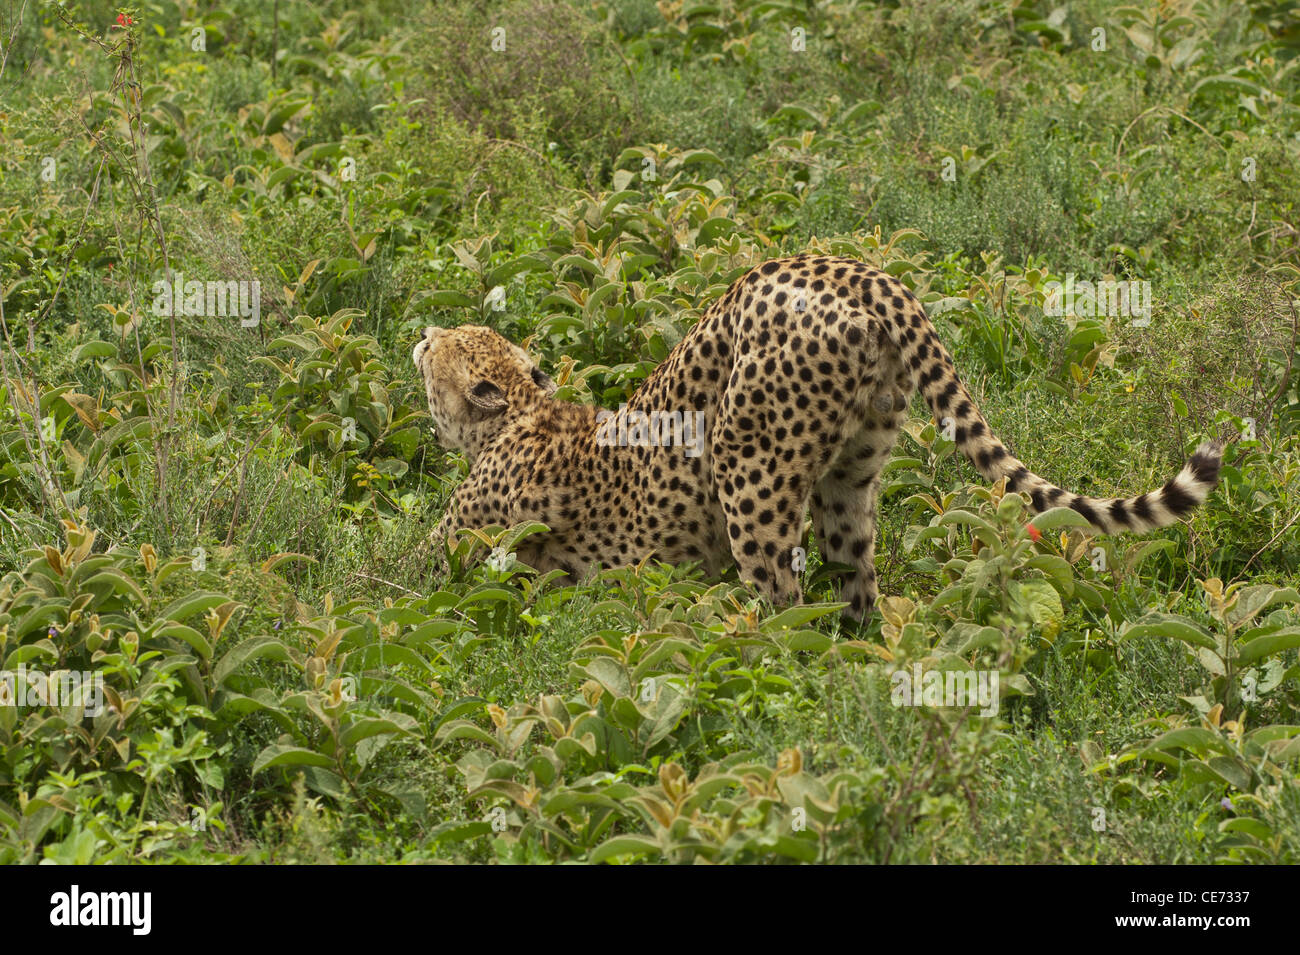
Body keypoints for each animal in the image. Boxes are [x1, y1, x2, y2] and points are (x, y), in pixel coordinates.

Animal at [413, 252, 1225, 622]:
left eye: (438, 346)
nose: (420, 332)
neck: (518, 414)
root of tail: (857, 269)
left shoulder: (470, 544)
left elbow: (408, 581)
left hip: (750, 465)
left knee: (780, 590)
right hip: (851, 474)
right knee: (854, 580)